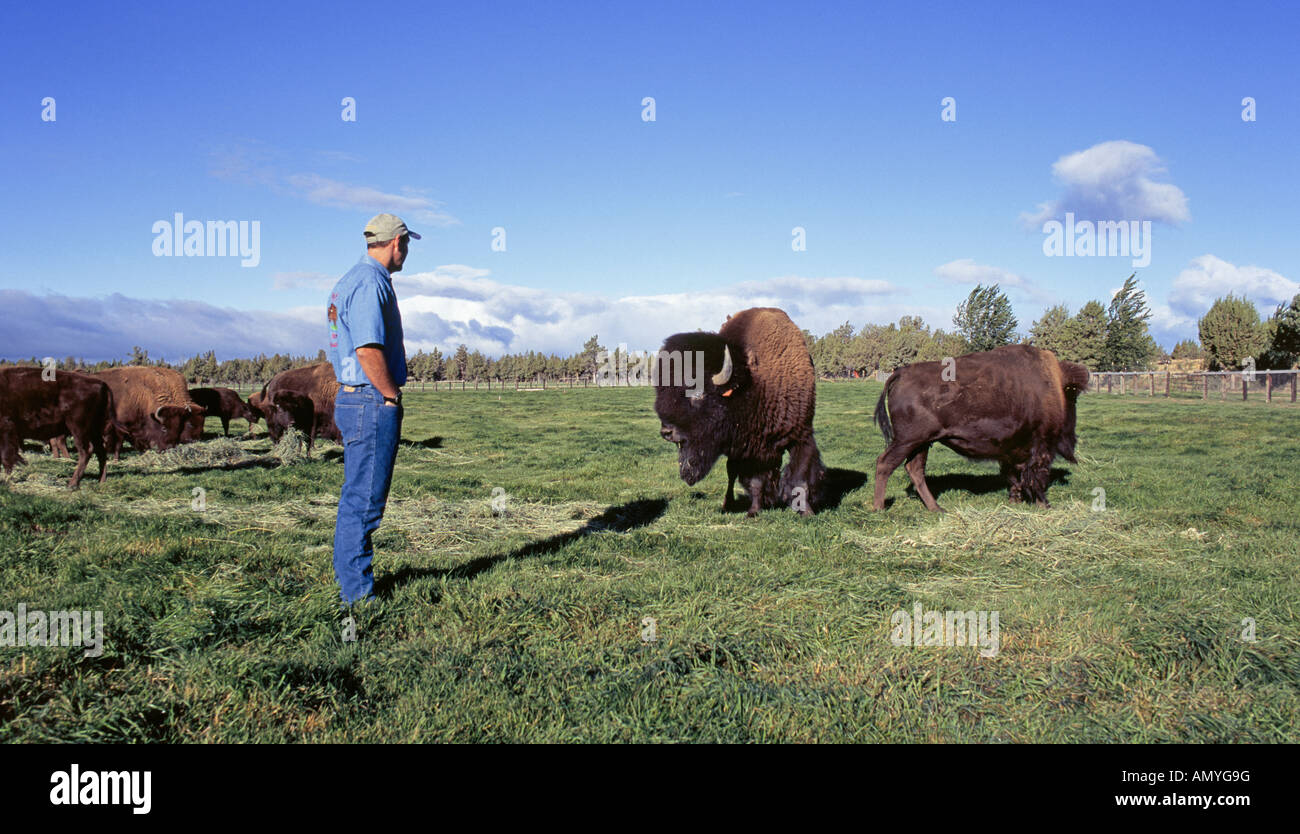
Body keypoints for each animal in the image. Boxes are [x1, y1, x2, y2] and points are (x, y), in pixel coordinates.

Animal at [655, 307, 825, 516]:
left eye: (698, 393)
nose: (666, 432)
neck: (752, 385)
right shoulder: (749, 452)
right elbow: (755, 482)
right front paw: (753, 511)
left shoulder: (801, 436)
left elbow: (801, 478)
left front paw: (807, 512)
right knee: (732, 475)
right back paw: (728, 503)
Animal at [872, 344, 1090, 511]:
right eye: (1073, 395)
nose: (1073, 435)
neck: (1054, 385)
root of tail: (901, 373)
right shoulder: (1042, 447)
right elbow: (1036, 476)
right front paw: (1044, 504)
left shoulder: (1012, 452)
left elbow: (1015, 477)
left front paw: (1015, 500)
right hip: (907, 440)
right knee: (885, 463)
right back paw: (879, 508)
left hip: (922, 443)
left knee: (914, 469)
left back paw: (936, 508)